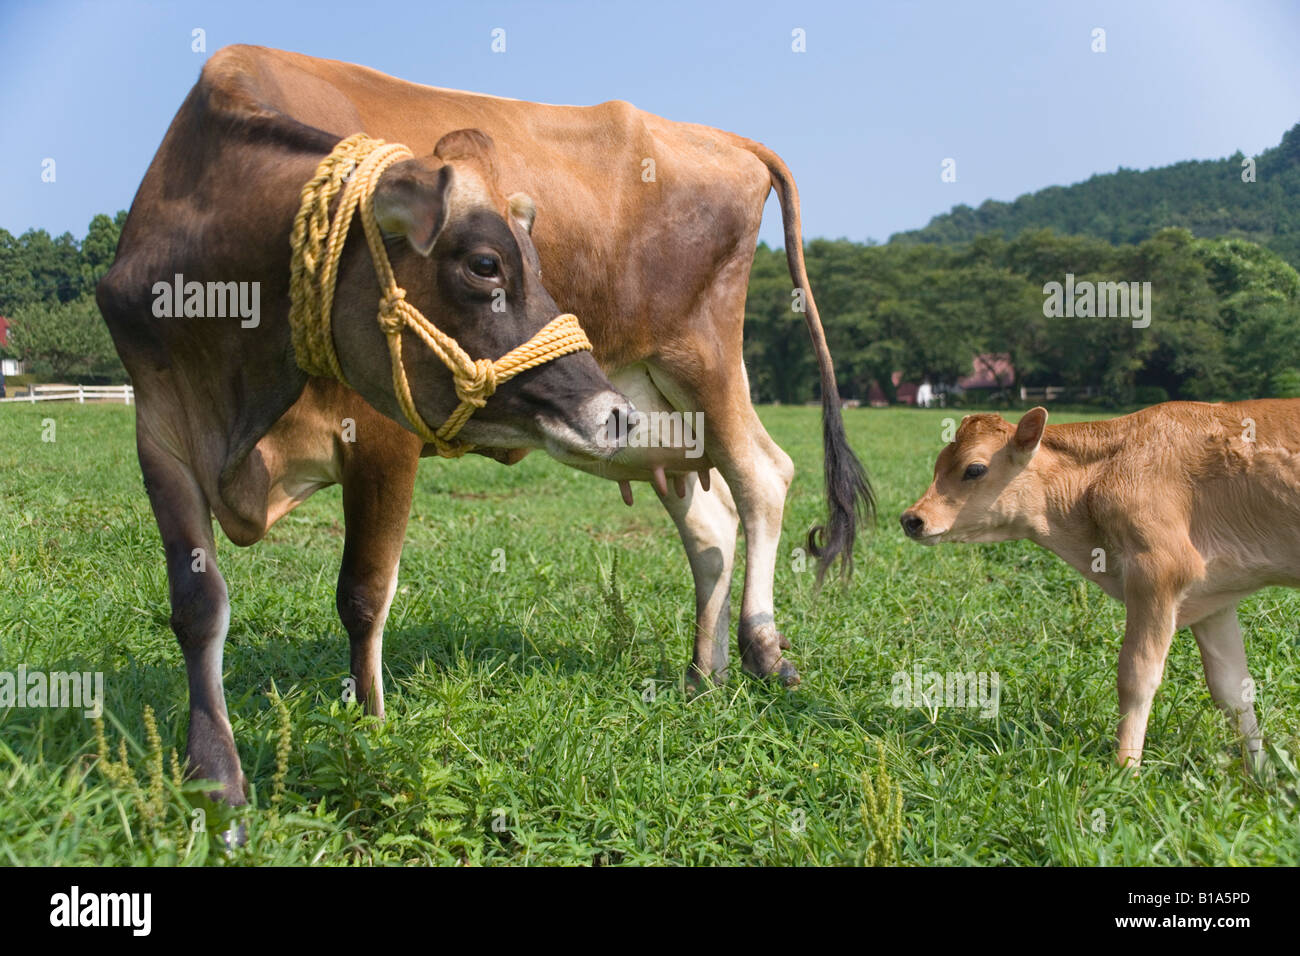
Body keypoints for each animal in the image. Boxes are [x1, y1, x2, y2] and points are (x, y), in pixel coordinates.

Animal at [98, 46, 872, 804]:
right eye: (485, 264)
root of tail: (723, 137)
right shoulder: (159, 433)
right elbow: (196, 604)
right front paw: (215, 779)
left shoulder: (381, 429)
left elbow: (362, 595)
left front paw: (368, 742)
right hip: (652, 409)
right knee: (710, 523)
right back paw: (701, 674)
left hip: (701, 362)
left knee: (763, 475)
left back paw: (761, 647)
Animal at [900, 402, 1300, 771]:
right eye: (938, 464)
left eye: (975, 468)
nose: (912, 519)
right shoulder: (1213, 598)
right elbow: (1232, 689)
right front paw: (1261, 774)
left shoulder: (1158, 571)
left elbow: (1136, 675)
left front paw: (1125, 769)